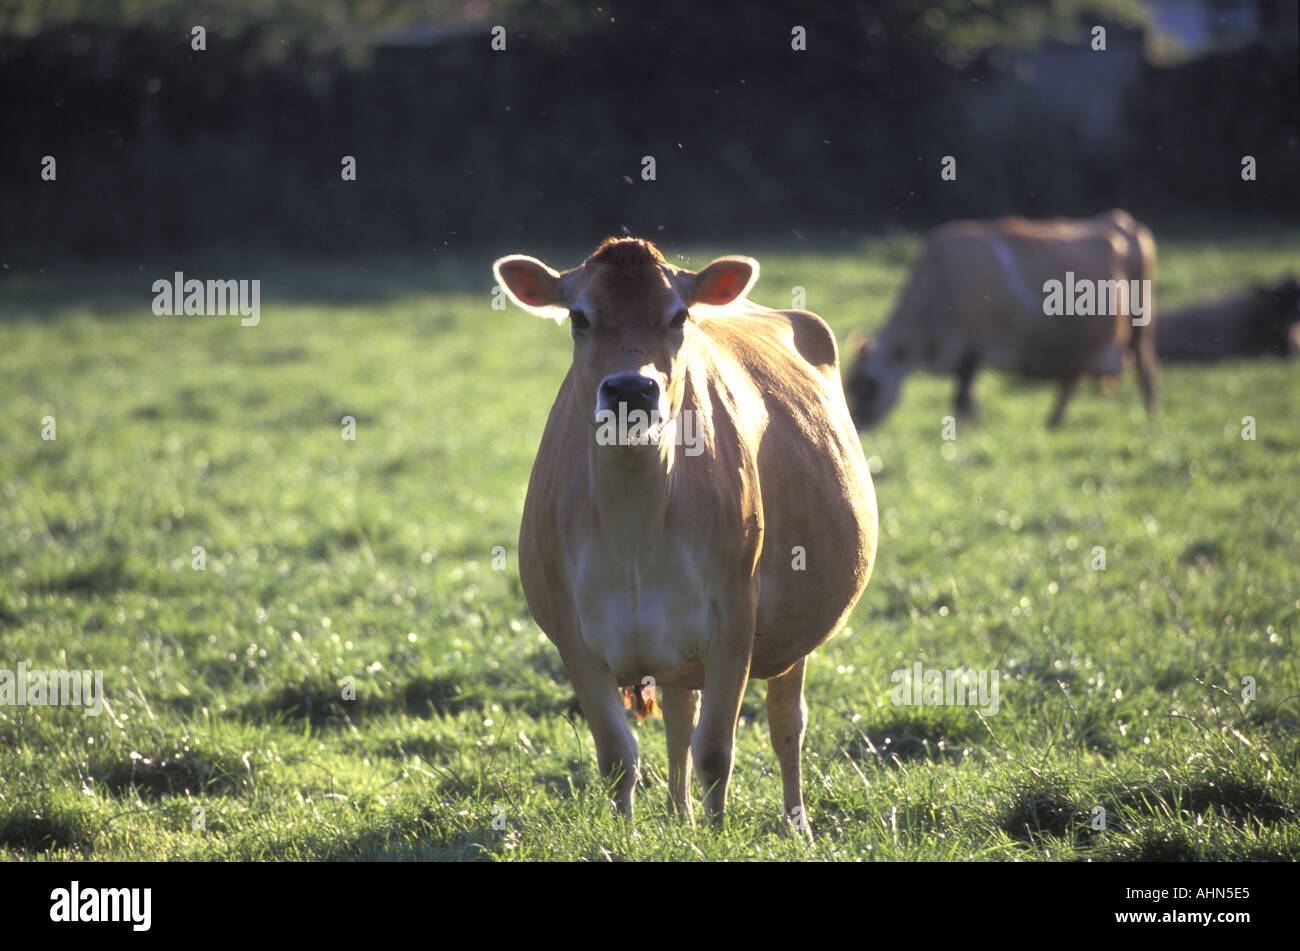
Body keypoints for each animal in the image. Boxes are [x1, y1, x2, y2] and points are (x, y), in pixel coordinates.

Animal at [493, 237, 877, 829]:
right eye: (579, 317)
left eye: (678, 317)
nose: (631, 389)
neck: (633, 528)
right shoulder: (571, 635)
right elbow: (617, 757)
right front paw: (626, 837)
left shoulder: (735, 618)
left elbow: (716, 750)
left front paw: (717, 836)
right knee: (679, 715)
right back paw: (680, 819)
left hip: (791, 635)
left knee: (786, 723)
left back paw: (796, 827)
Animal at [846, 210, 1159, 429]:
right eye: (849, 384)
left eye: (869, 384)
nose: (859, 424)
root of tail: (1124, 222)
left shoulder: (972, 349)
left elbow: (963, 399)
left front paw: (968, 427)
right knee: (1072, 379)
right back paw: (1054, 420)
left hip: (1136, 326)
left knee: (1144, 367)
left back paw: (1150, 413)